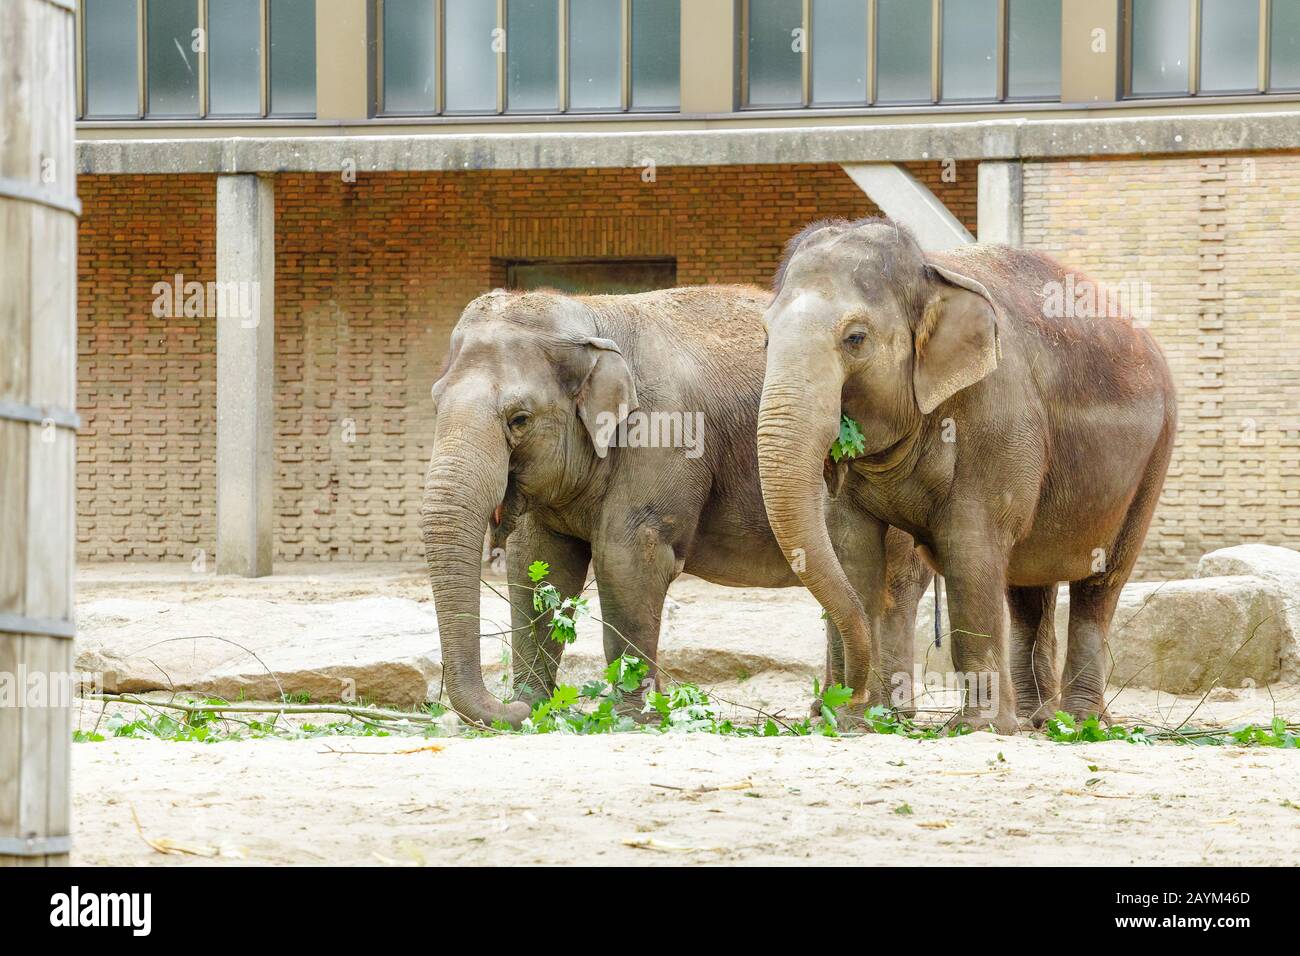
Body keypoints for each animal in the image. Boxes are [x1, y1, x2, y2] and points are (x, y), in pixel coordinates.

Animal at [419, 284, 932, 728]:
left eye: (519, 419)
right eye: (435, 402)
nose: (511, 707)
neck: (590, 313)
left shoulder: (664, 433)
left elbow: (627, 559)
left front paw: (631, 718)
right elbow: (537, 564)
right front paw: (536, 709)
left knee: (891, 585)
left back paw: (876, 714)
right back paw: (835, 710)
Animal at [756, 218, 1176, 733]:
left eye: (855, 338)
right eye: (766, 336)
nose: (836, 703)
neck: (928, 272)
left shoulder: (997, 416)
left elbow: (970, 546)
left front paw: (977, 728)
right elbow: (850, 547)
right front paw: (856, 722)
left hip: (1153, 460)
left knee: (1100, 583)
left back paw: (1078, 723)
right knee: (1027, 585)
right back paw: (1036, 718)